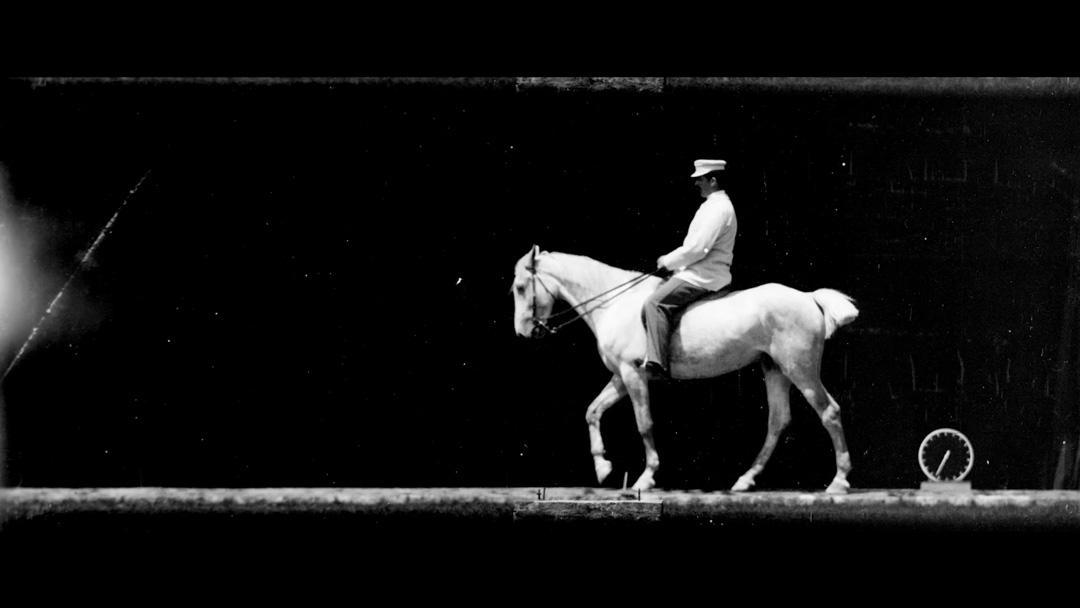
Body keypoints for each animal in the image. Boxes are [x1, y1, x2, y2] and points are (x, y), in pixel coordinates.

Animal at [510, 245, 860, 493]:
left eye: (520, 287)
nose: (523, 333)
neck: (614, 304)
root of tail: (809, 298)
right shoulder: (620, 376)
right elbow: (592, 411)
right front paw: (602, 467)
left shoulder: (633, 374)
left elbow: (644, 424)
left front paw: (646, 477)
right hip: (775, 369)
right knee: (777, 421)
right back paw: (745, 479)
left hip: (800, 369)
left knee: (829, 412)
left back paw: (839, 482)